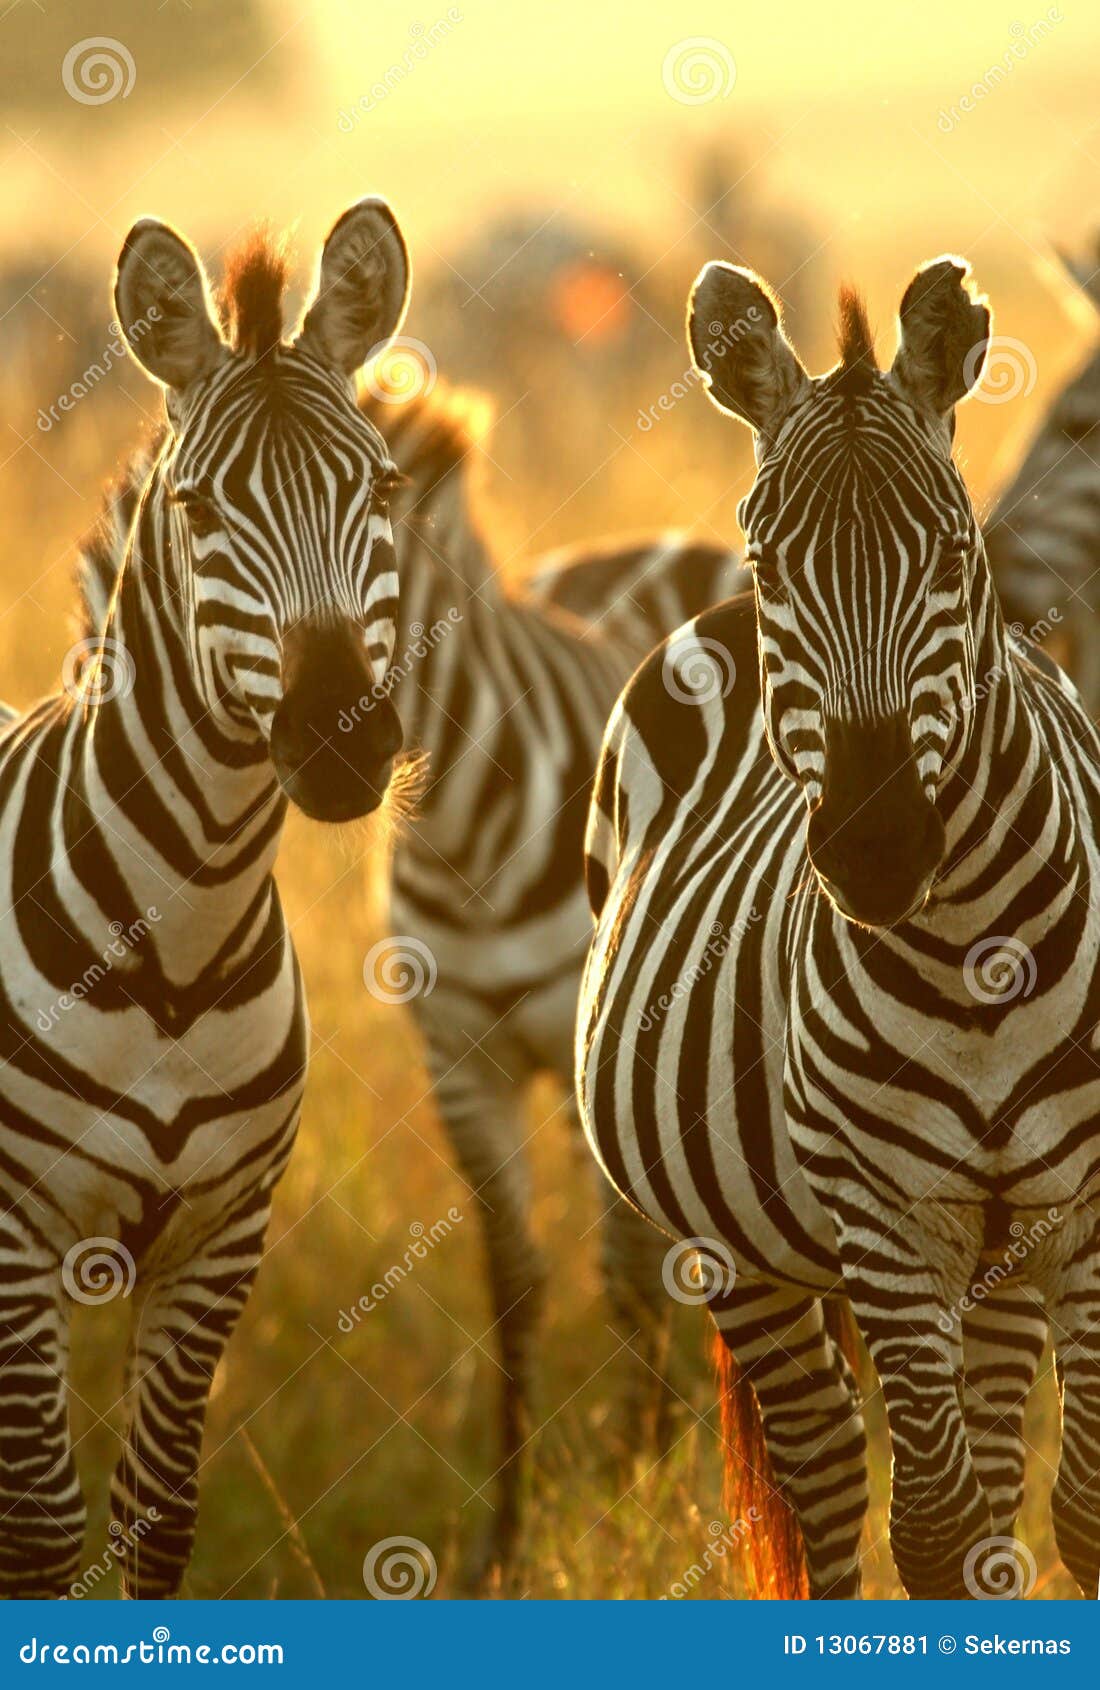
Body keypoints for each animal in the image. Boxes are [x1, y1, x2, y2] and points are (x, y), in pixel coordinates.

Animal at [0, 198, 411, 1597]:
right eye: (196, 506)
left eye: (382, 487)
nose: (338, 739)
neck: (170, 950)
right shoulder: (17, 1244)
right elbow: (42, 1526)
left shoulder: (219, 1240)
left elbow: (154, 1517)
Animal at [577, 254, 1100, 1599]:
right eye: (774, 566)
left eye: (950, 558)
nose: (875, 853)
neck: (972, 956)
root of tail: (699, 619)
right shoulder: (881, 1215)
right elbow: (932, 1527)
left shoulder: (1081, 1209)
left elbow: (1072, 1511)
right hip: (734, 1251)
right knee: (822, 1484)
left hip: (996, 1253)